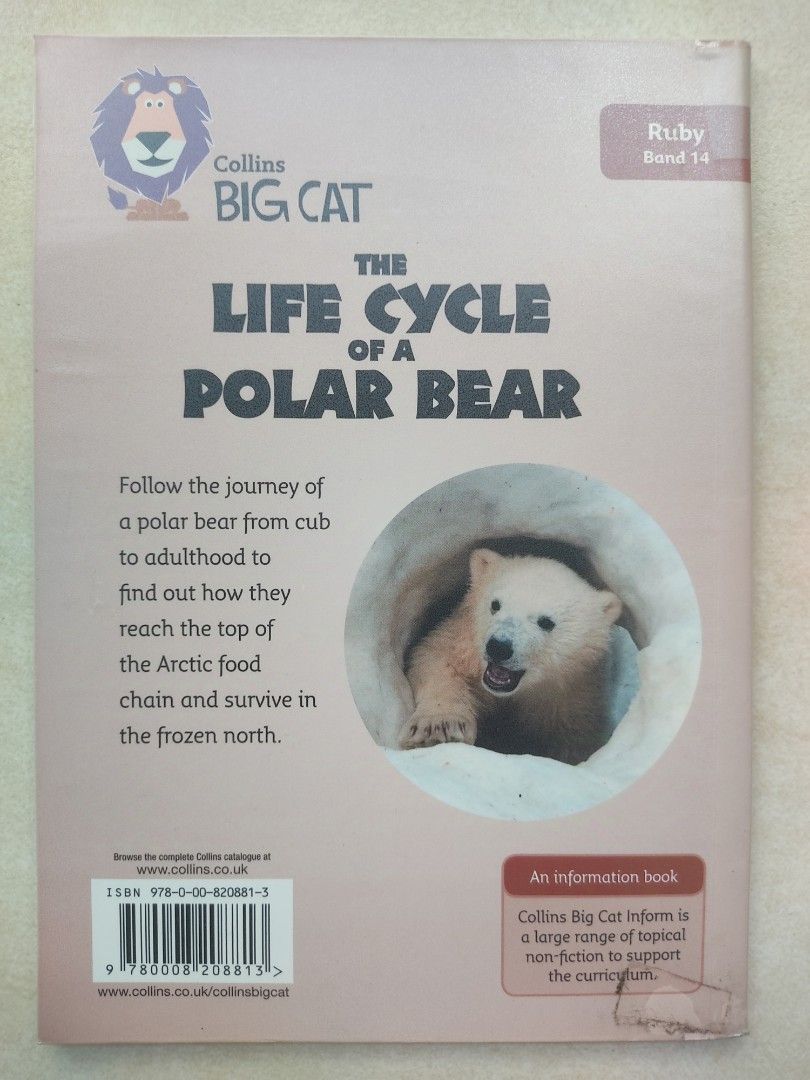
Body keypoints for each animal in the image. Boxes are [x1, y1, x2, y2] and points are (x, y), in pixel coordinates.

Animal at [400, 549, 622, 764]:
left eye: (546, 622)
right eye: (495, 604)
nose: (499, 647)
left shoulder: (573, 699)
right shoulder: (462, 641)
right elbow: (436, 660)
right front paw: (438, 727)